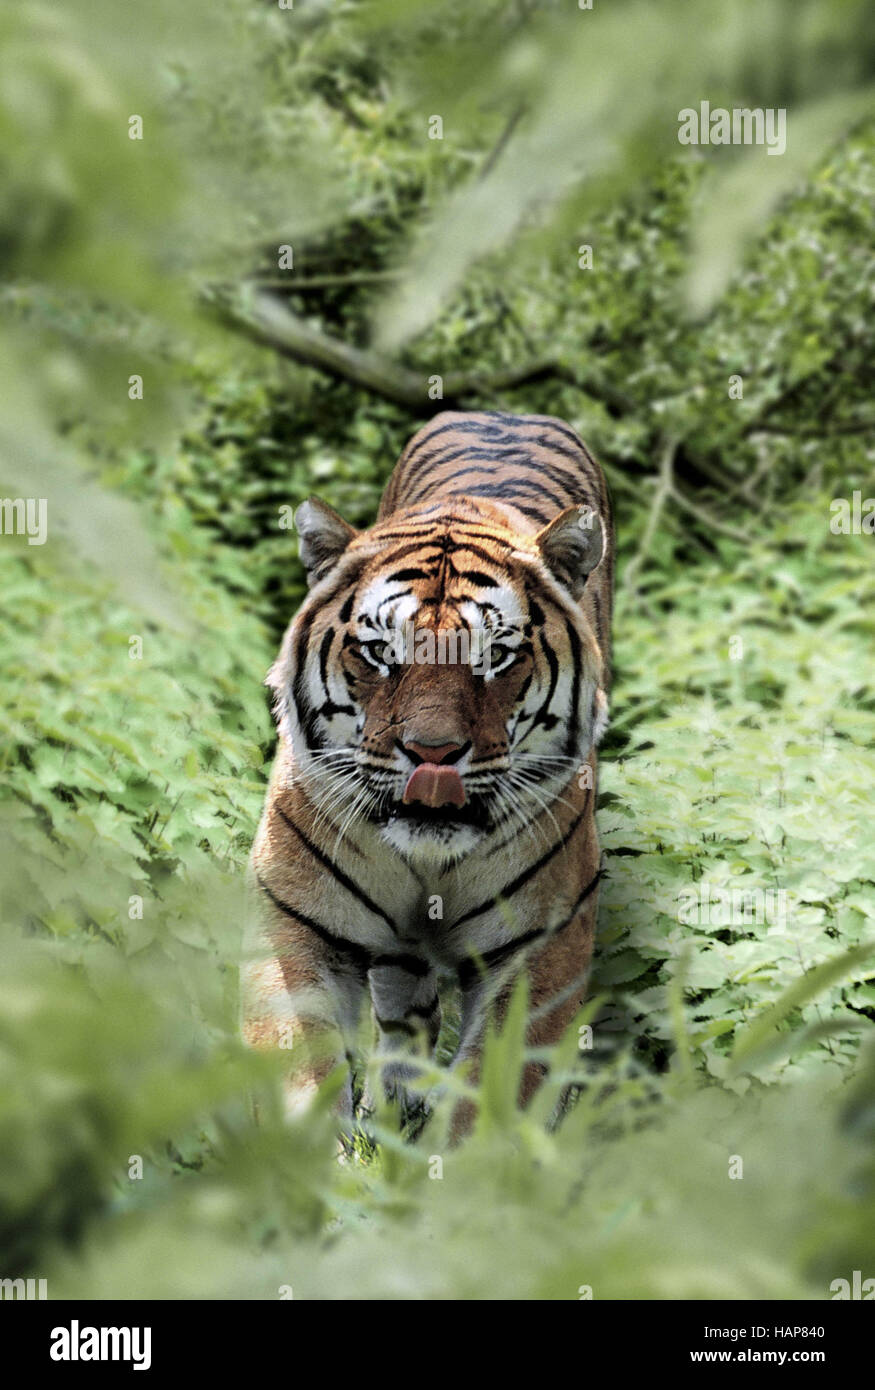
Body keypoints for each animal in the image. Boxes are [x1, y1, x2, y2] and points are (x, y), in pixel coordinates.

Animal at [242, 409, 613, 1136]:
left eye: (495, 656)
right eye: (379, 652)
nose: (433, 754)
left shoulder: (539, 947)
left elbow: (490, 1102)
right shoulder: (294, 918)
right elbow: (300, 1071)